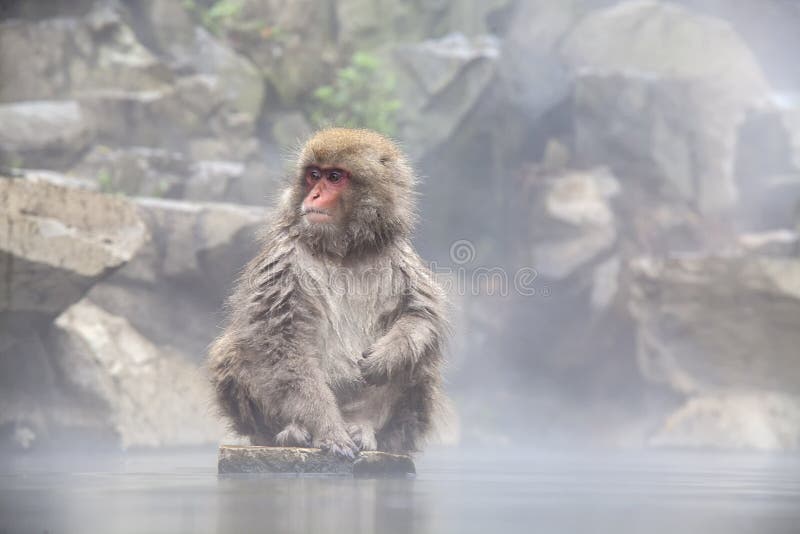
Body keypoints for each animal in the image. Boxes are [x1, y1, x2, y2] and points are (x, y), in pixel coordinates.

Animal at [208, 128, 450, 458]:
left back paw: (366, 428)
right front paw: (327, 429)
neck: (345, 249)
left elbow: (421, 314)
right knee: (233, 350)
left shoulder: (399, 257)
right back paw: (290, 432)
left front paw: (388, 356)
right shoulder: (284, 260)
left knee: (422, 364)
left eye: (334, 177)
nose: (314, 196)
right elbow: (282, 344)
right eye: (313, 175)